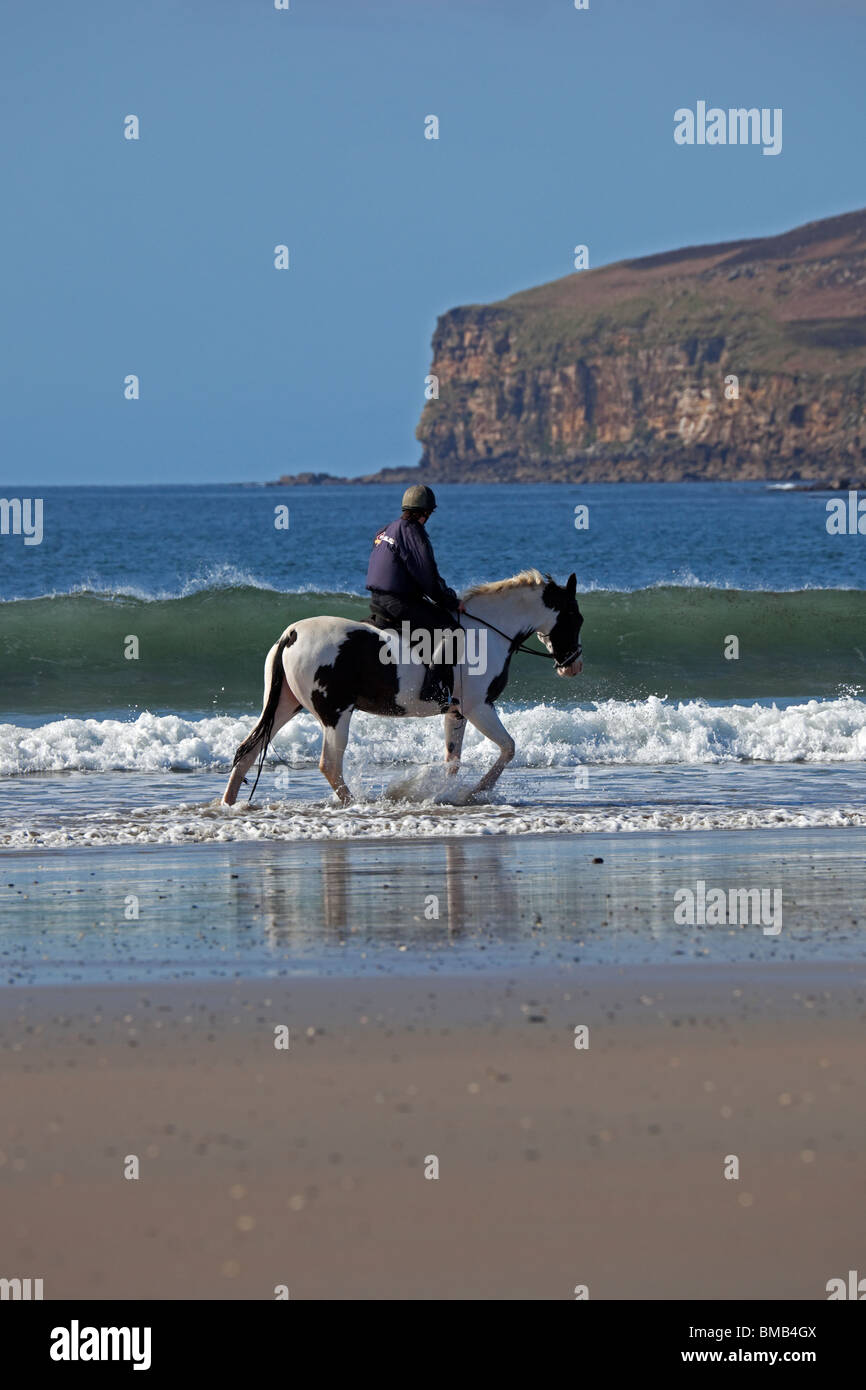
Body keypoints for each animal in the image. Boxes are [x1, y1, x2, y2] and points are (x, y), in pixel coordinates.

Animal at [221, 569, 584, 807]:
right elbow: (508, 748)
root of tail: (292, 634)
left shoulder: (456, 712)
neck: (488, 632)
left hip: (285, 705)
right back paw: (356, 804)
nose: (573, 666)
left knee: (247, 750)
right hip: (335, 714)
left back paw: (227, 803)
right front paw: (474, 793)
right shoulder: (479, 708)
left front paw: (441, 795)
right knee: (330, 764)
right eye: (577, 618)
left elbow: (453, 762)